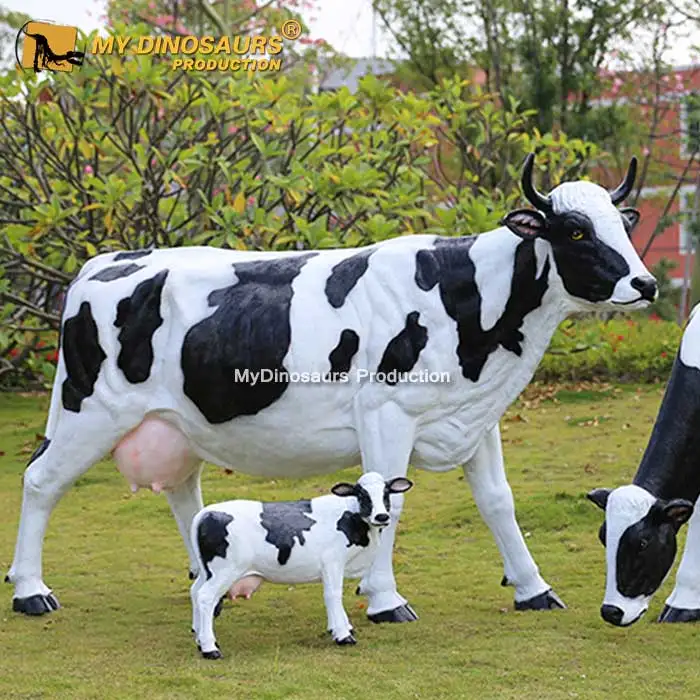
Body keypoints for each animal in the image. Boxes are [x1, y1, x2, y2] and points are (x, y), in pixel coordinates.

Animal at [5, 153, 655, 625]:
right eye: (575, 230)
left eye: (622, 224)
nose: (645, 284)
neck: (468, 300)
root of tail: (107, 260)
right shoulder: (387, 412)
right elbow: (392, 504)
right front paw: (387, 600)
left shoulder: (475, 415)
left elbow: (499, 502)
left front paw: (532, 588)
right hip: (88, 409)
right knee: (40, 481)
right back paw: (31, 590)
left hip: (176, 423)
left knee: (185, 493)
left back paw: (212, 582)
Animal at [190, 472, 414, 658]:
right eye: (362, 494)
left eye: (386, 493)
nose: (382, 516)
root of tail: (205, 513)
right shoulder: (332, 561)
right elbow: (333, 595)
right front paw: (343, 635)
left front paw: (339, 628)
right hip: (225, 570)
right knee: (206, 597)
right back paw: (210, 648)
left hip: (207, 571)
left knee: (195, 592)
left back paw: (200, 640)